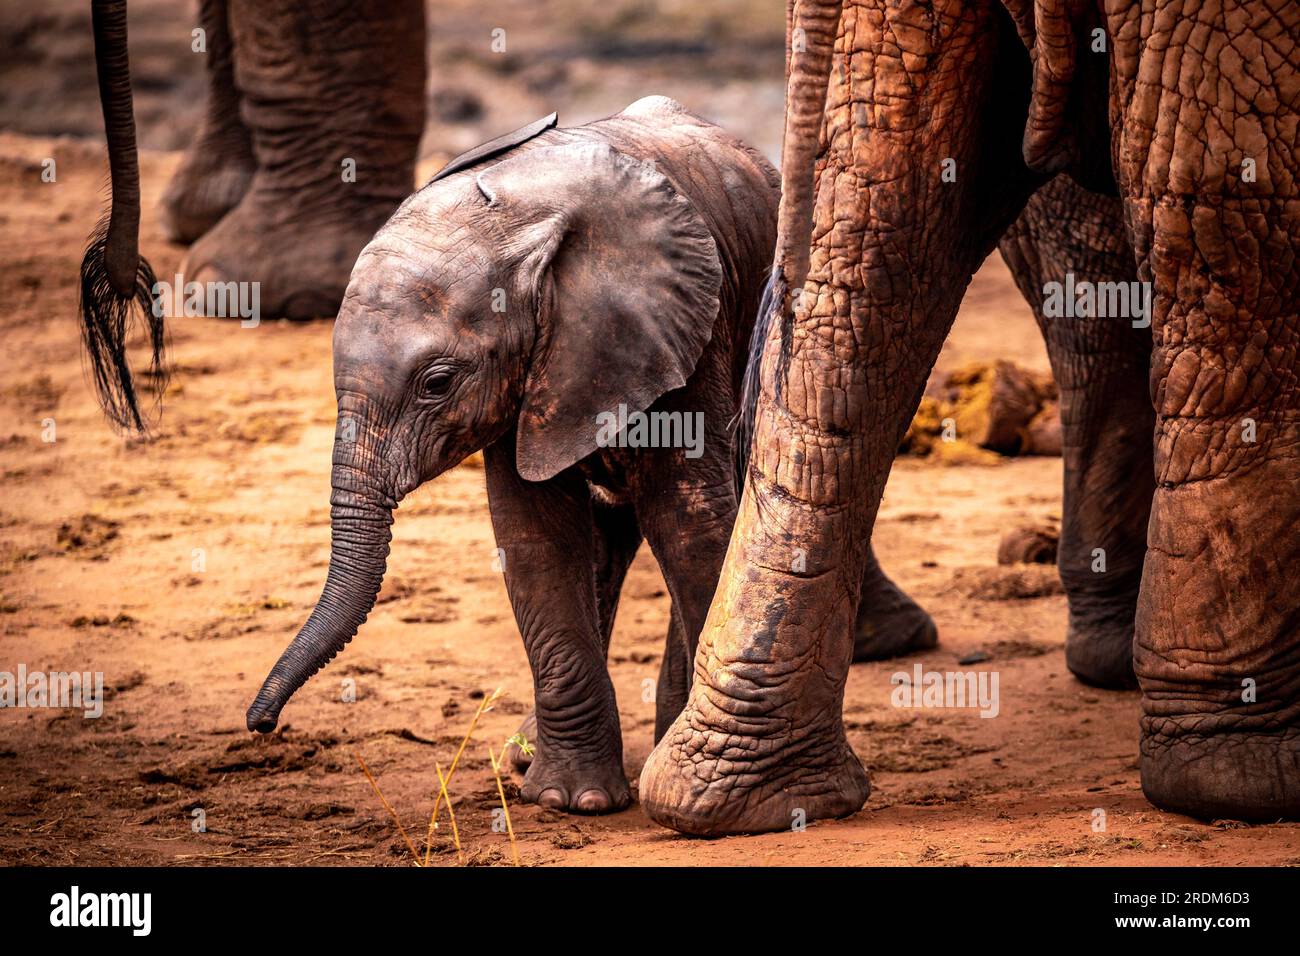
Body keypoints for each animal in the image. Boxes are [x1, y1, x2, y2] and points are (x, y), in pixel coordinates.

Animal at [243, 95, 784, 814]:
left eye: (437, 383)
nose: (260, 723)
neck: (519, 227)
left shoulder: (676, 336)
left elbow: (693, 528)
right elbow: (536, 539)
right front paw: (567, 799)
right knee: (604, 541)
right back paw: (524, 758)